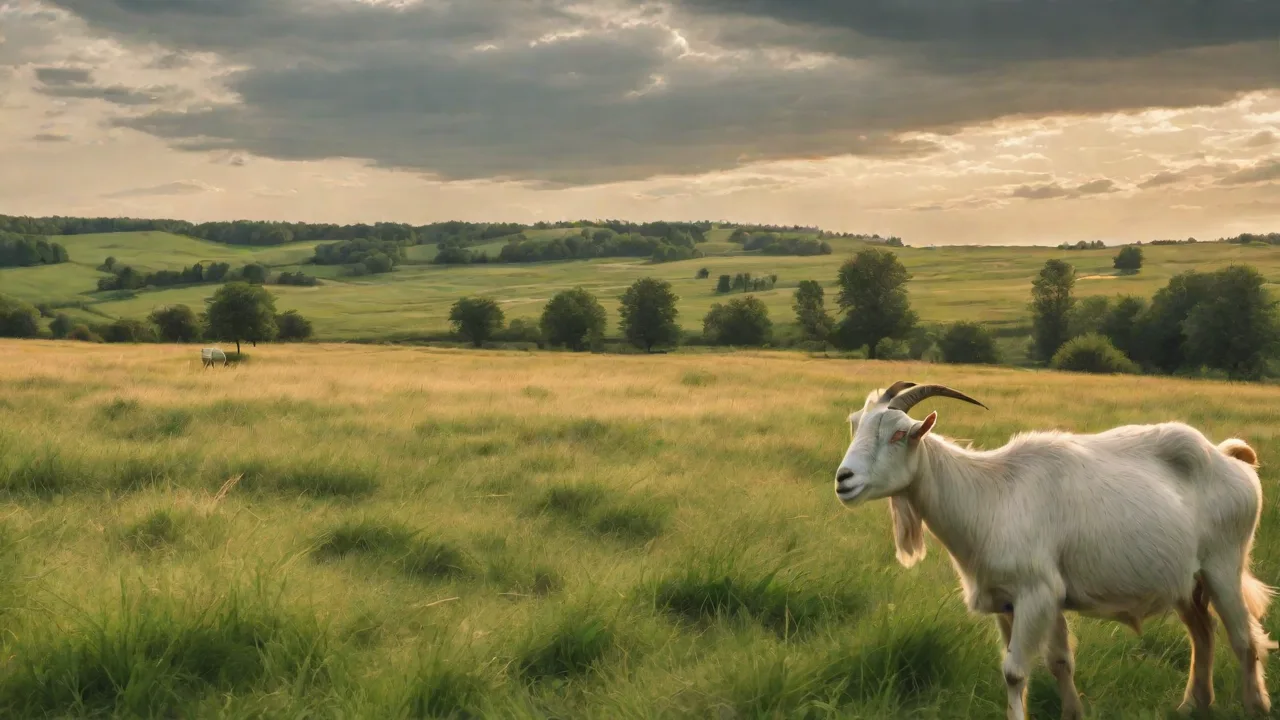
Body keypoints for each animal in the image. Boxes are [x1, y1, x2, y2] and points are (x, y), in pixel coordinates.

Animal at [833, 381, 1276, 720]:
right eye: (854, 425)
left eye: (898, 434)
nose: (844, 479)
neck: (989, 495)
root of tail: (1231, 458)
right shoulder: (1014, 602)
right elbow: (1060, 662)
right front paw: (1073, 713)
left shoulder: (1037, 594)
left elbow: (1014, 671)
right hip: (1188, 581)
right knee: (1203, 633)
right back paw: (1193, 705)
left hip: (1223, 565)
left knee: (1244, 638)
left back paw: (1255, 706)